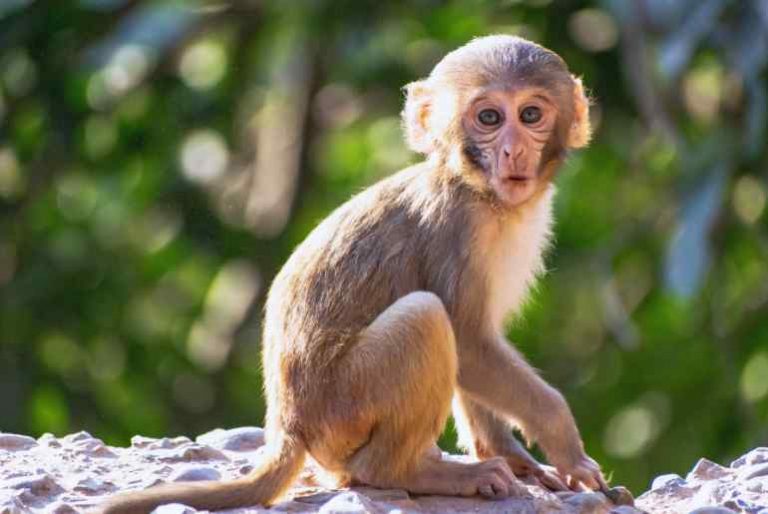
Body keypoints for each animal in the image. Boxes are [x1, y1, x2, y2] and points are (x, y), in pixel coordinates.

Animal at [98, 35, 606, 514]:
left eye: (531, 114)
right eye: (489, 118)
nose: (513, 149)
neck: (480, 192)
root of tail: (287, 425)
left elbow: (477, 350)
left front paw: (513, 456)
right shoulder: (458, 229)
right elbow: (468, 340)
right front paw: (566, 443)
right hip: (344, 406)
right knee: (425, 318)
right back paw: (409, 472)